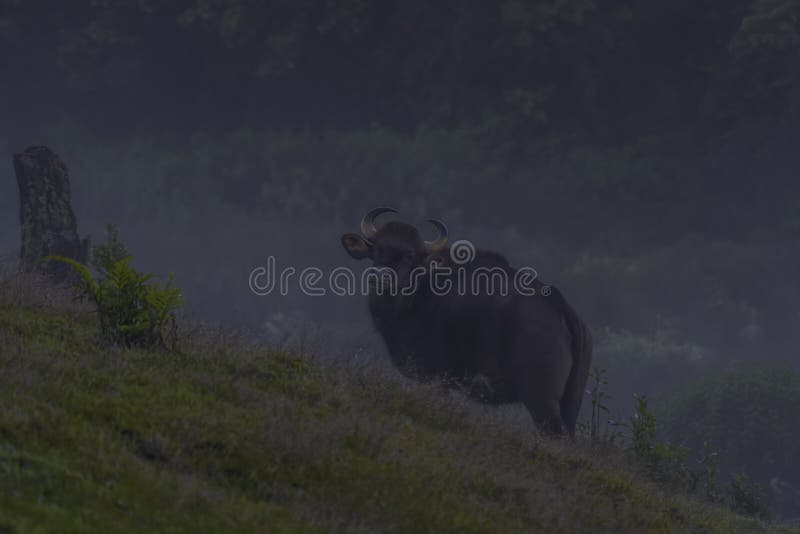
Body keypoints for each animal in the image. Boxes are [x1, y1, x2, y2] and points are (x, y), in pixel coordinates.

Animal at [341, 207, 592, 437]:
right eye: (377, 249)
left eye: (408, 256)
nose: (378, 276)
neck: (418, 294)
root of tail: (562, 308)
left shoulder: (435, 377)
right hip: (570, 404)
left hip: (541, 401)